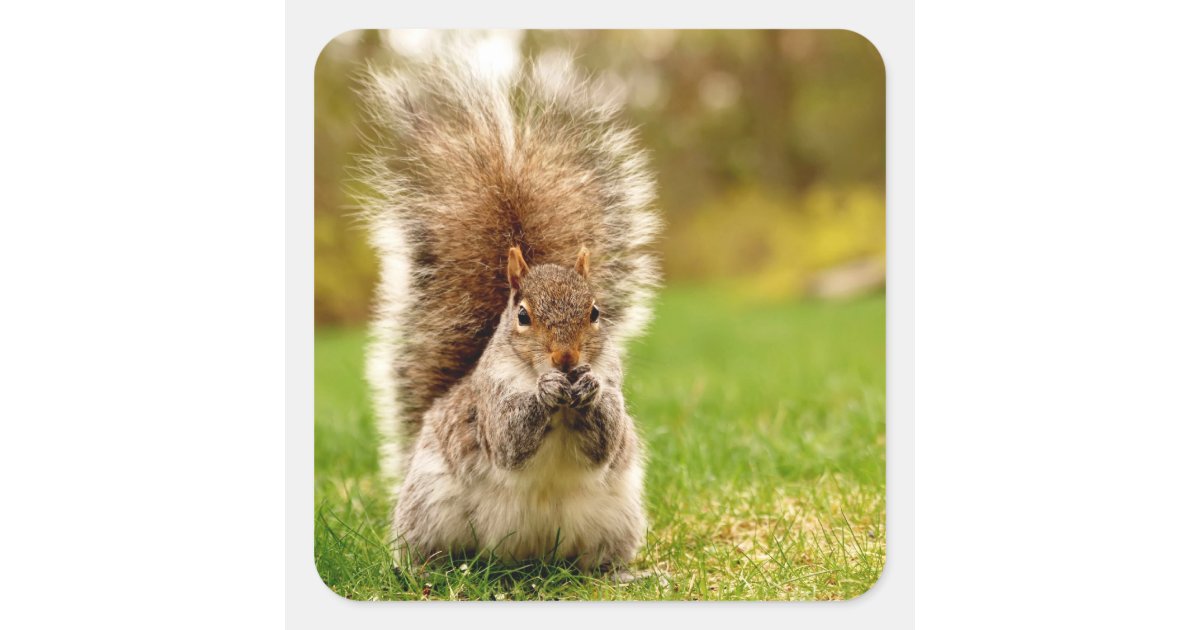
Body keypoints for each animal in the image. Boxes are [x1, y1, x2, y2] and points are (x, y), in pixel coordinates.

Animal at [355, 48, 663, 573]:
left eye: (595, 311)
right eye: (522, 316)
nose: (566, 359)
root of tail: (528, 561)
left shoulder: (614, 390)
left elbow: (607, 437)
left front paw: (589, 389)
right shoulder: (491, 400)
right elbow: (510, 439)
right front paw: (545, 392)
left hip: (617, 517)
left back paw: (624, 574)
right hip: (430, 507)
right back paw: (426, 569)